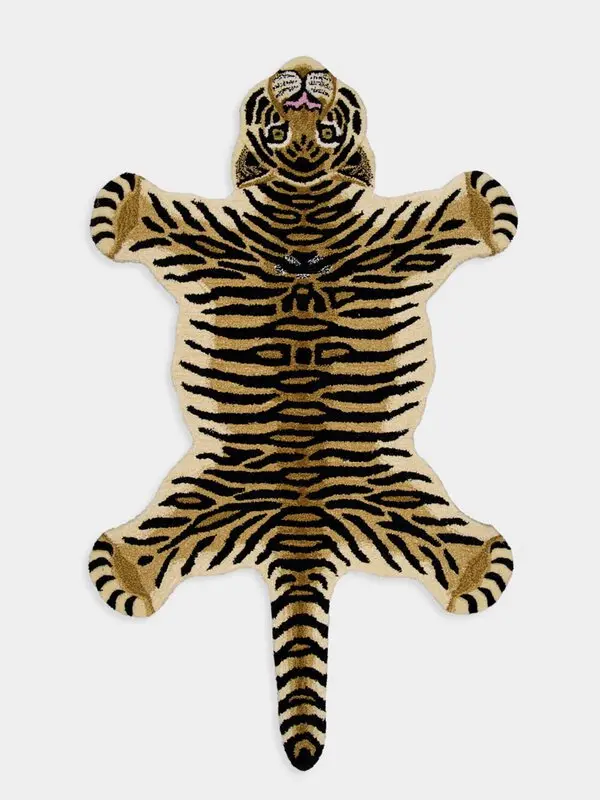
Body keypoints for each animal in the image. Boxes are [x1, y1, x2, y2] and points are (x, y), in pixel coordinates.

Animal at [88, 56, 518, 771]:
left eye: (328, 121)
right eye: (279, 124)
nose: (304, 74)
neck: (303, 202)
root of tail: (301, 534)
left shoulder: (391, 237)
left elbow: (440, 213)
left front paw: (486, 205)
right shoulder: (212, 236)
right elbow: (166, 215)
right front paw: (121, 207)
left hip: (394, 499)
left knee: (454, 548)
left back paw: (476, 562)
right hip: (209, 497)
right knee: (149, 552)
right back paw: (129, 568)